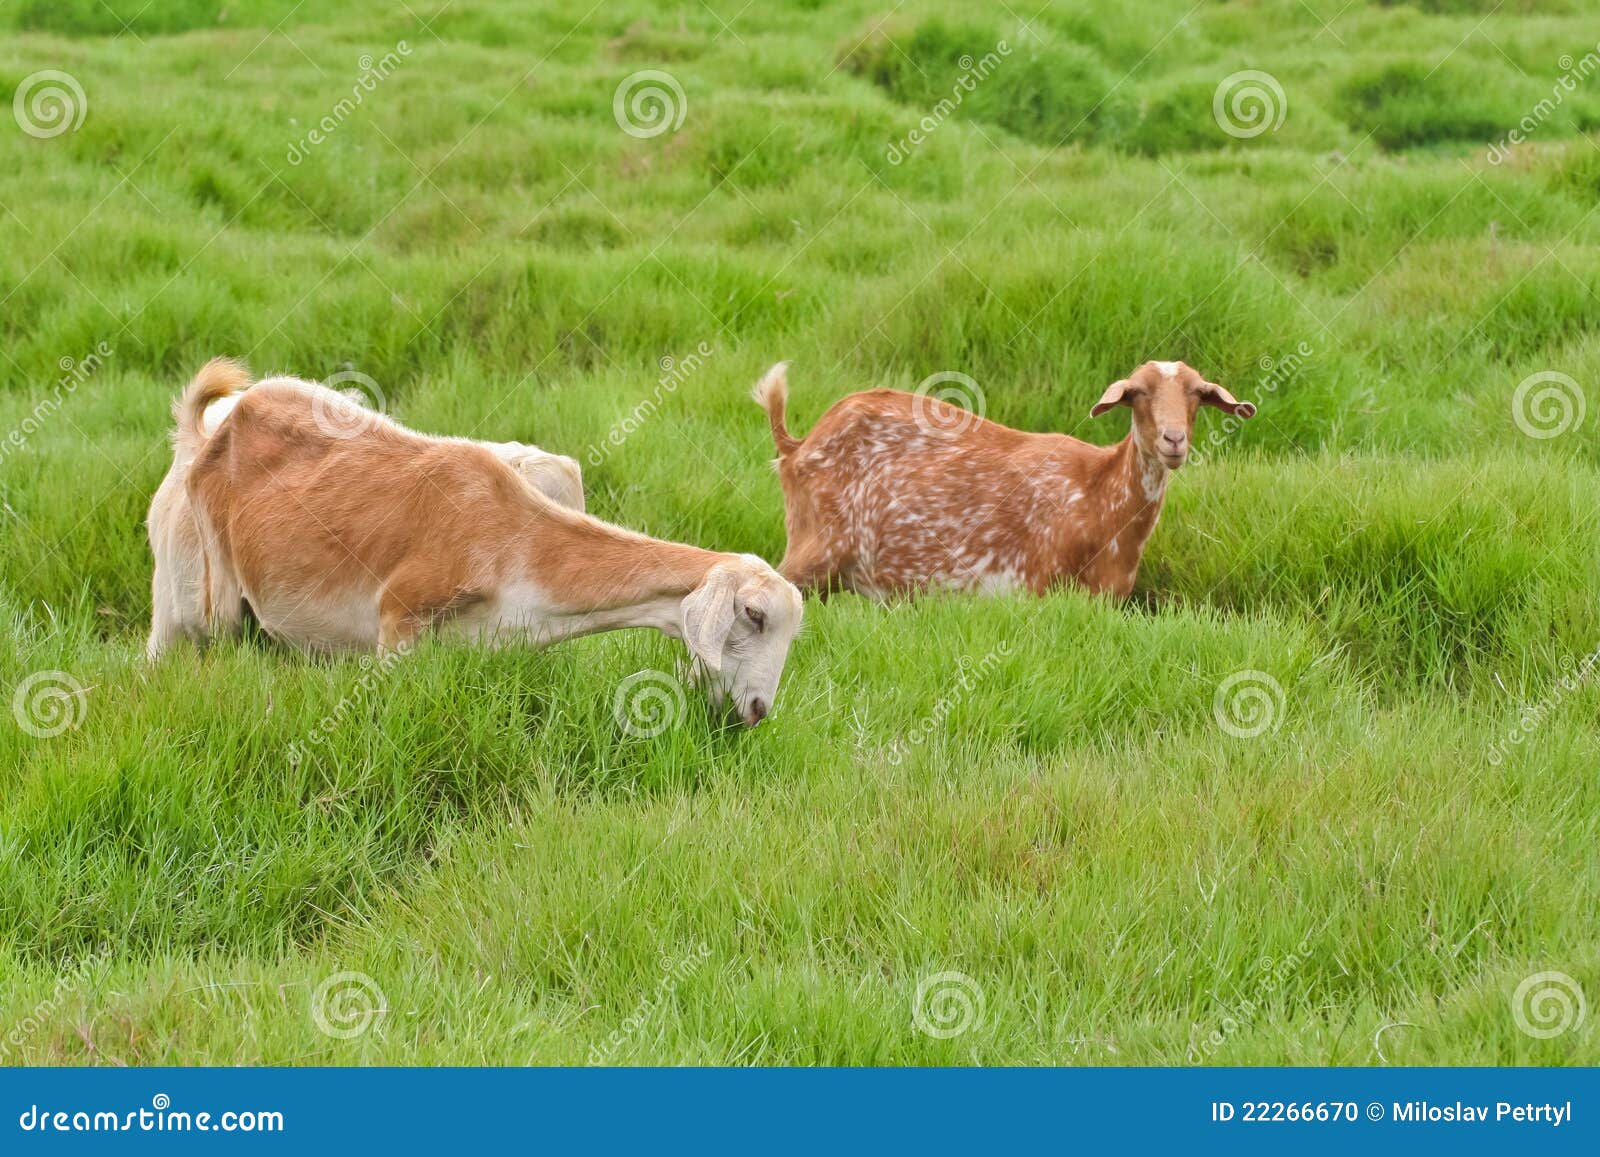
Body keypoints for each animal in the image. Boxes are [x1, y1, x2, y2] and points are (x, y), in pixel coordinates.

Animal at [753, 360, 1254, 599]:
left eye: (1198, 394)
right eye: (1138, 394)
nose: (1174, 439)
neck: (1097, 496)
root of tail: (797, 445)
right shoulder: (1035, 584)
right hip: (814, 548)